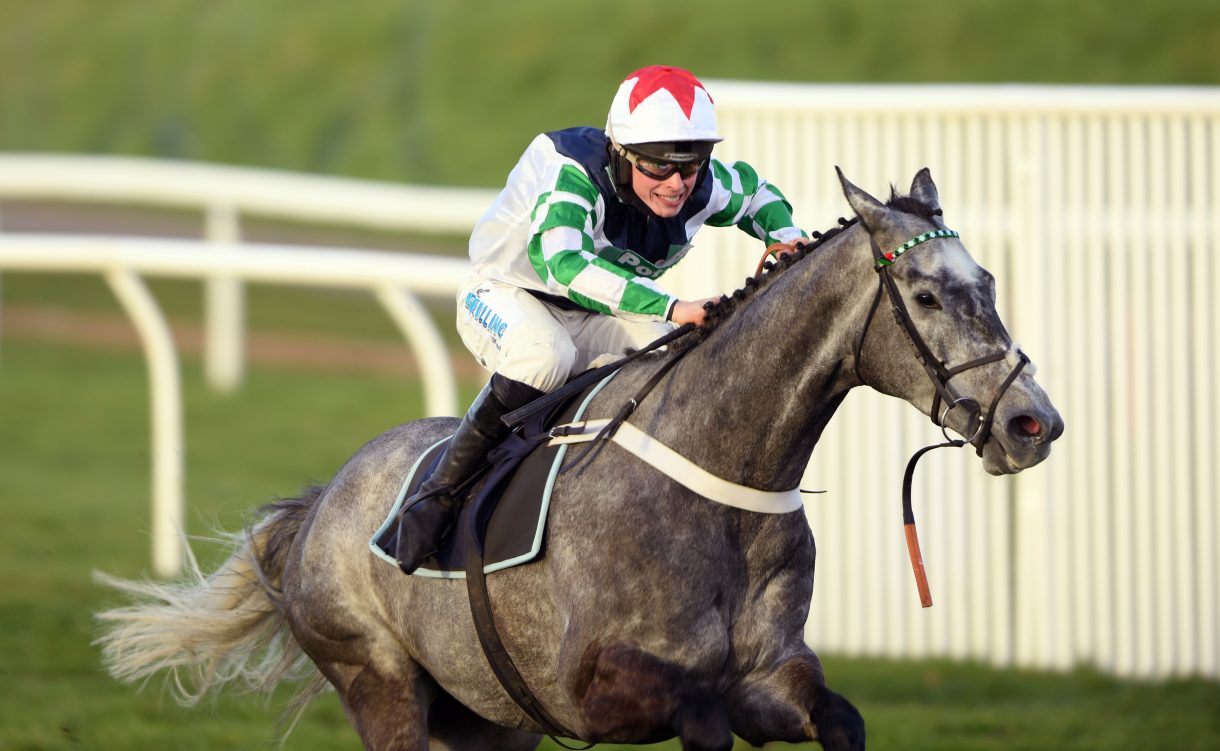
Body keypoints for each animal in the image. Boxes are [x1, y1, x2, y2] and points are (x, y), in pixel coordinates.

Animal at [95, 168, 1063, 751]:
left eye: (989, 284)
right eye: (928, 294)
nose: (1033, 423)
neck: (724, 477)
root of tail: (321, 502)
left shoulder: (775, 671)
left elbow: (838, 717)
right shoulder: (594, 686)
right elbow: (700, 710)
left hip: (487, 717)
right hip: (380, 682)